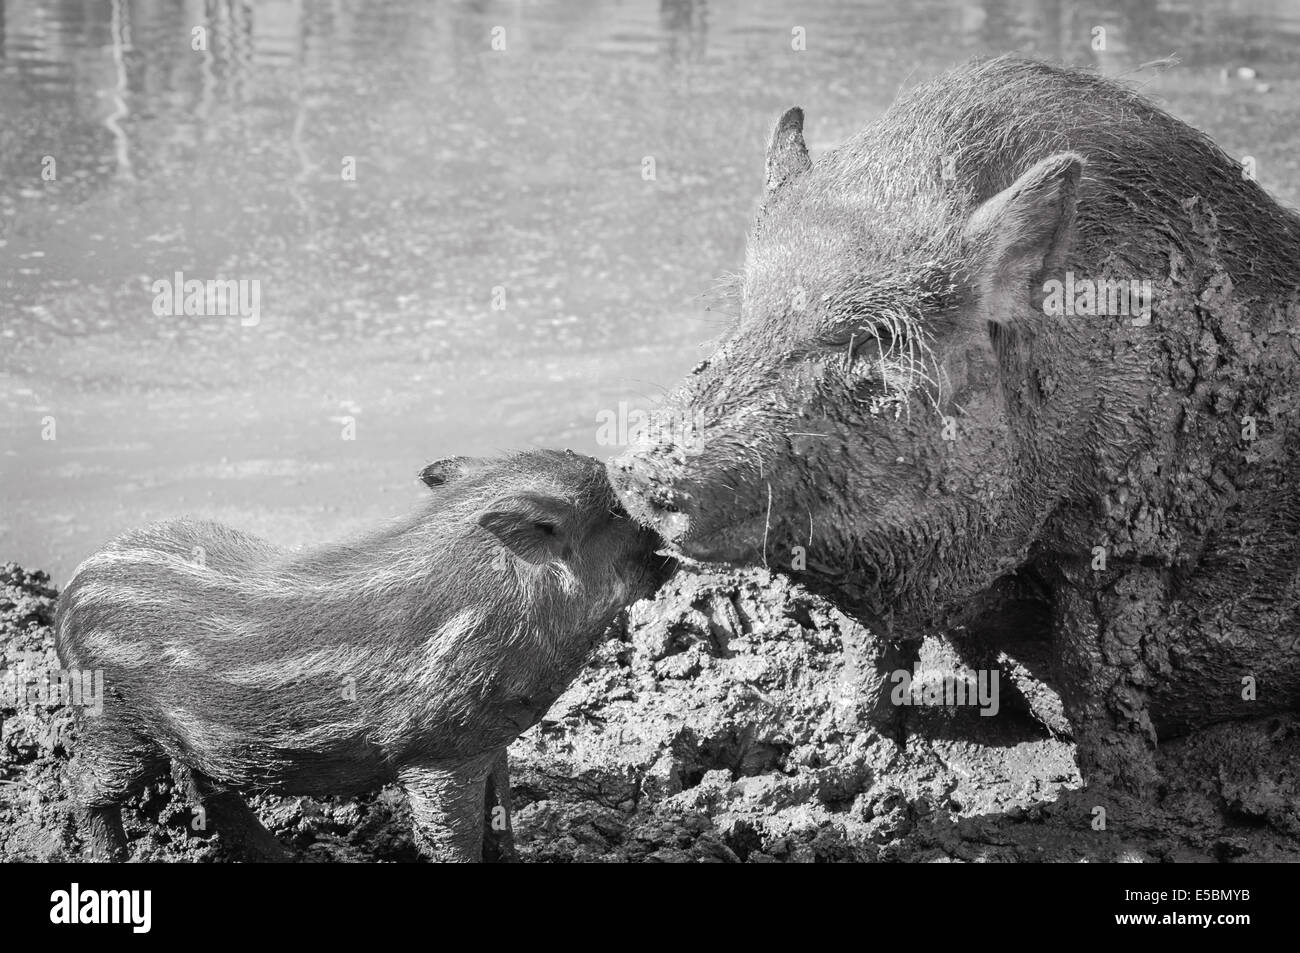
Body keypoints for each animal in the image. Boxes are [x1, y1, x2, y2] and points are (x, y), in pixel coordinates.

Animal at [56, 449, 669, 862]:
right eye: (617, 511)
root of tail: (71, 590)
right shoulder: (437, 756)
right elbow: (455, 840)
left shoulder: (491, 741)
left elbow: (504, 823)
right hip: (116, 723)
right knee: (84, 786)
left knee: (213, 790)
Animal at [610, 56, 1300, 794]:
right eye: (745, 312)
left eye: (876, 346)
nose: (634, 467)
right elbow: (871, 660)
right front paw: (855, 747)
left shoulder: (1133, 540)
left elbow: (1100, 682)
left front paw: (1124, 794)